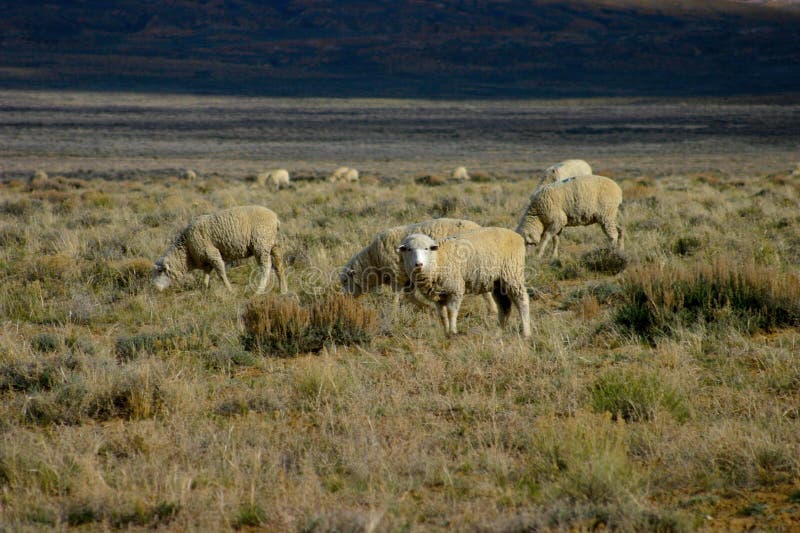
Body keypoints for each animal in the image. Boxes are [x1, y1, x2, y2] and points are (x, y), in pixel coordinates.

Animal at [152, 205, 287, 294]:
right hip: (272, 244)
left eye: (160, 271)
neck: (186, 250)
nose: (155, 288)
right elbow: (206, 273)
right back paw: (283, 289)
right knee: (279, 265)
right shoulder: (205, 258)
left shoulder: (212, 253)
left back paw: (259, 290)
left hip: (261, 244)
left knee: (266, 267)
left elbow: (221, 273)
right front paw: (205, 288)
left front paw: (230, 290)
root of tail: (275, 219)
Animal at [340, 218, 497, 313]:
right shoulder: (408, 277)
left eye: (345, 281)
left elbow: (397, 297)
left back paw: (492, 309)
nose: (344, 299)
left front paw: (393, 311)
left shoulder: (397, 275)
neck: (374, 260)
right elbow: (410, 296)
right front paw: (427, 308)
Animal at [397, 229, 530, 337]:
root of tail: (517, 236)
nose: (418, 264)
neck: (438, 259)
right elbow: (442, 315)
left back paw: (526, 333)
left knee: (522, 301)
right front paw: (446, 332)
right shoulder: (438, 296)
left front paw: (453, 331)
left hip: (512, 273)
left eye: (426, 249)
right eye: (408, 249)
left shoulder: (455, 289)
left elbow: (451, 312)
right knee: (504, 306)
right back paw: (498, 333)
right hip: (497, 282)